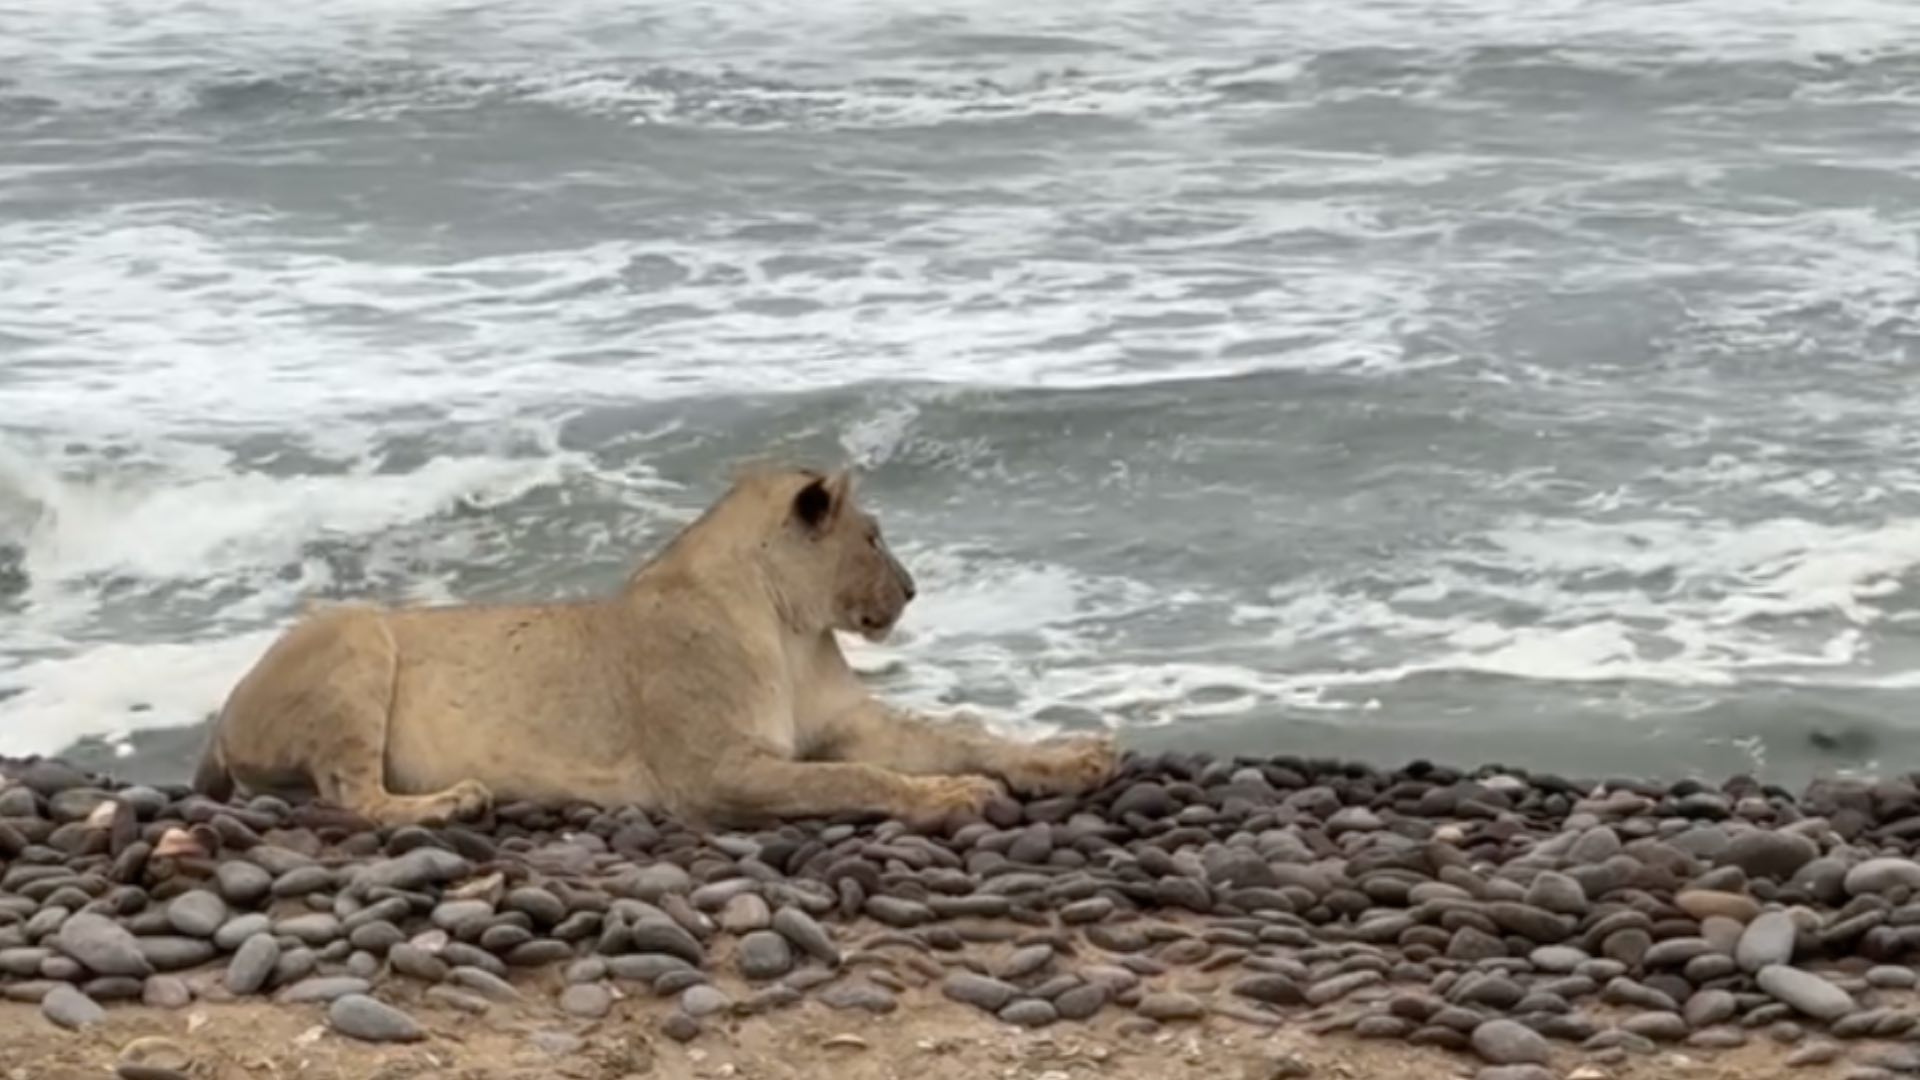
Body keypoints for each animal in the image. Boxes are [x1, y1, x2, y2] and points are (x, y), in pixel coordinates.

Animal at [192, 464, 1118, 829]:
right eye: (874, 537)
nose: (916, 589)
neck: (789, 628)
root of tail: (223, 711)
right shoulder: (715, 771)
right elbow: (858, 778)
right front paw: (953, 796)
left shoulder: (845, 722)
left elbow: (960, 732)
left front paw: (1073, 757)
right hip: (351, 629)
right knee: (350, 792)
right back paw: (451, 802)